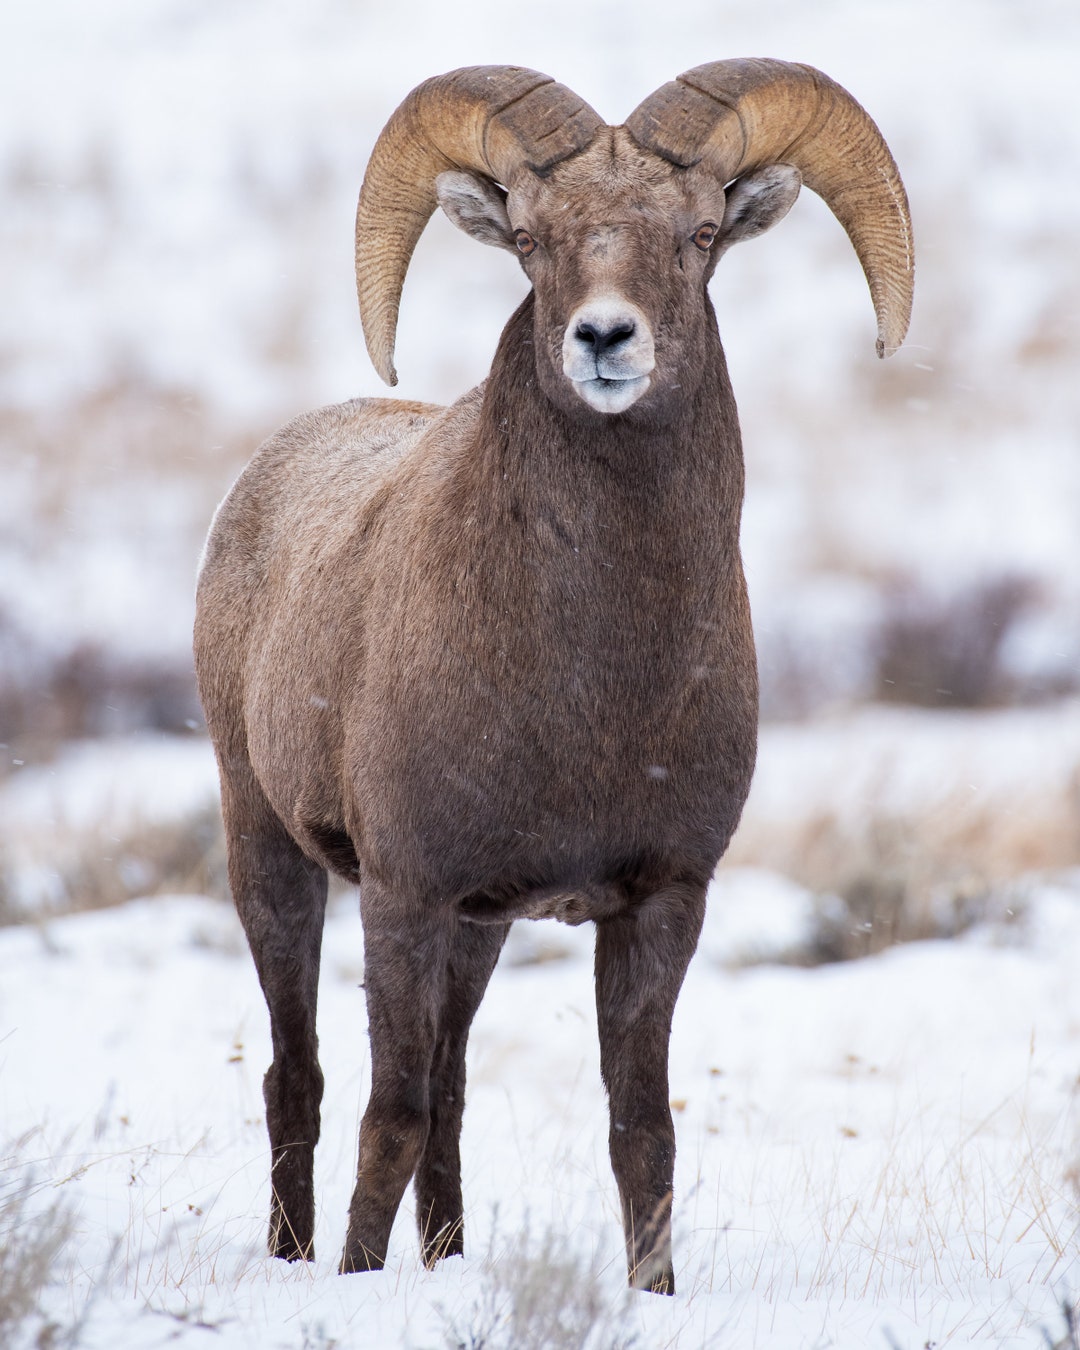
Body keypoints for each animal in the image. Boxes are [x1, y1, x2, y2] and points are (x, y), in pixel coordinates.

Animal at [194, 59, 913, 1293]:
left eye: (700, 233)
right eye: (531, 241)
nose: (605, 338)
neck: (591, 682)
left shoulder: (658, 904)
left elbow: (639, 1130)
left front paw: (651, 1296)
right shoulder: (405, 894)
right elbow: (389, 1114)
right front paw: (356, 1284)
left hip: (480, 934)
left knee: (453, 1094)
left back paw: (447, 1262)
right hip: (271, 854)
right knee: (304, 1076)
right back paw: (296, 1261)